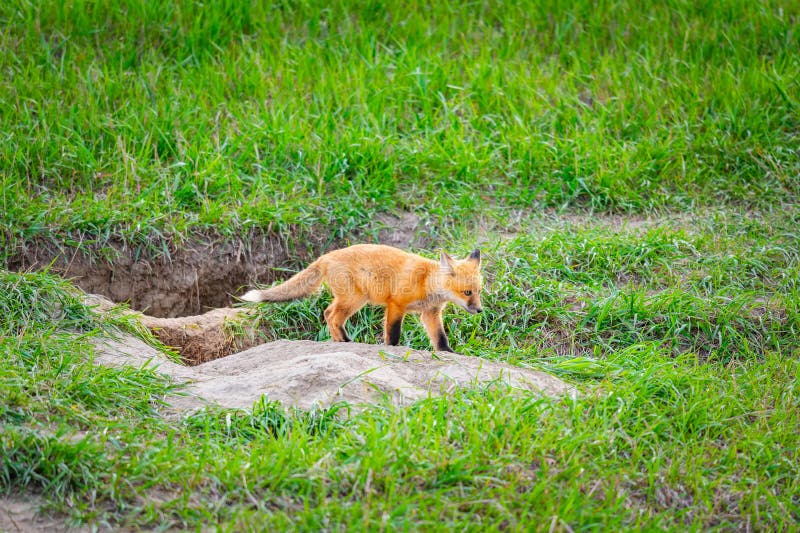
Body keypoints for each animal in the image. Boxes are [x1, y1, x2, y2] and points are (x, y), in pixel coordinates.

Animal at [240, 244, 483, 352]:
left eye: (479, 292)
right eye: (467, 293)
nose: (480, 311)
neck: (425, 282)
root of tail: (324, 257)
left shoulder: (430, 313)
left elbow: (439, 337)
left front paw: (448, 353)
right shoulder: (396, 305)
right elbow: (393, 334)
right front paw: (392, 349)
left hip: (353, 300)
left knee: (328, 313)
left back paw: (339, 340)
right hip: (354, 299)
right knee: (331, 315)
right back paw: (344, 341)